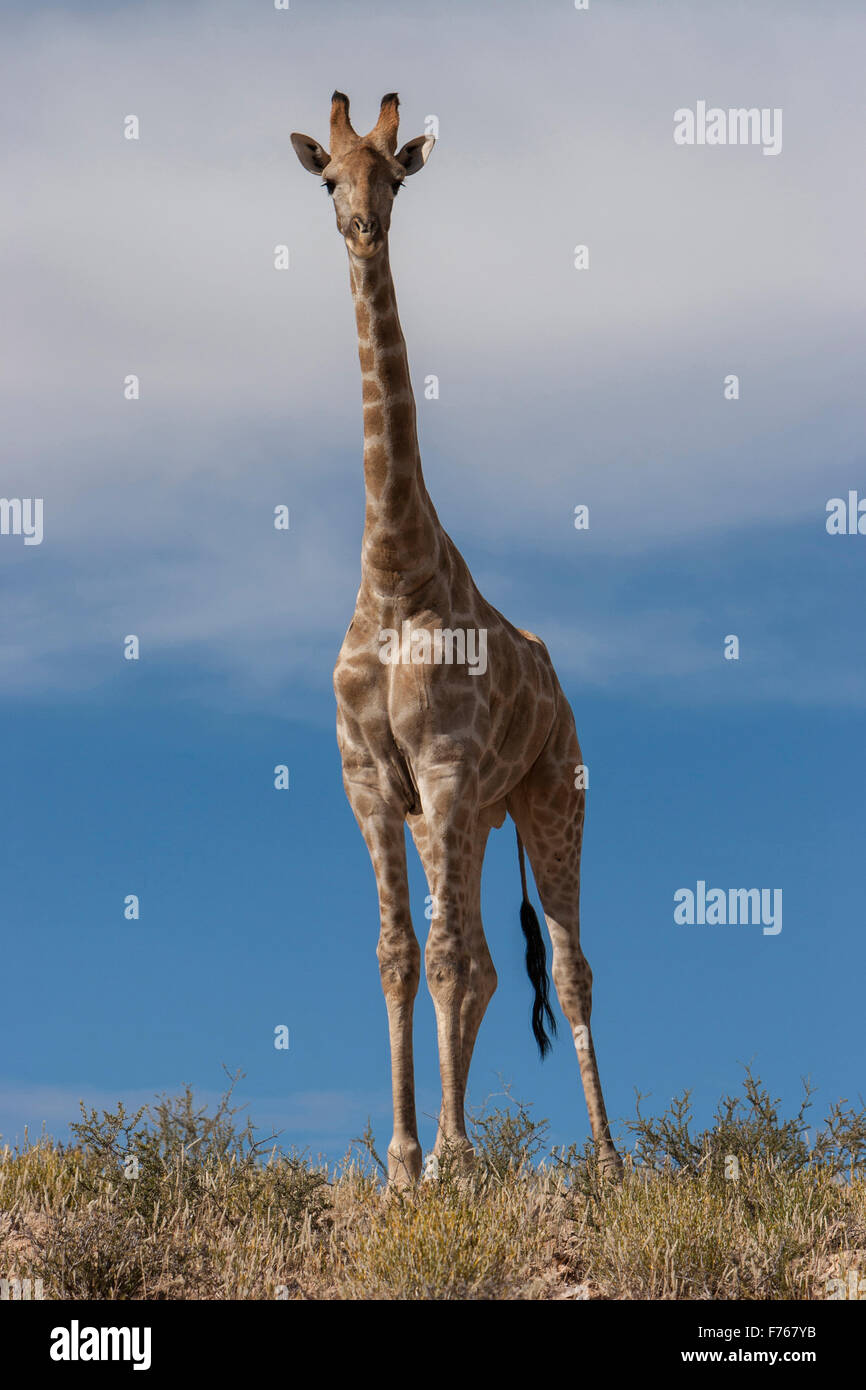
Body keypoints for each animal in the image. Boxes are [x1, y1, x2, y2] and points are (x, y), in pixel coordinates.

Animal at [291, 92, 623, 1185]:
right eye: (328, 176)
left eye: (394, 173)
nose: (361, 226)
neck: (394, 572)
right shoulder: (370, 781)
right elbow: (401, 953)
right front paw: (404, 1162)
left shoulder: (439, 765)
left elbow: (441, 958)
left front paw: (448, 1161)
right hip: (475, 817)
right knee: (481, 960)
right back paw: (449, 1146)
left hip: (548, 795)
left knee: (567, 966)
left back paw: (608, 1159)